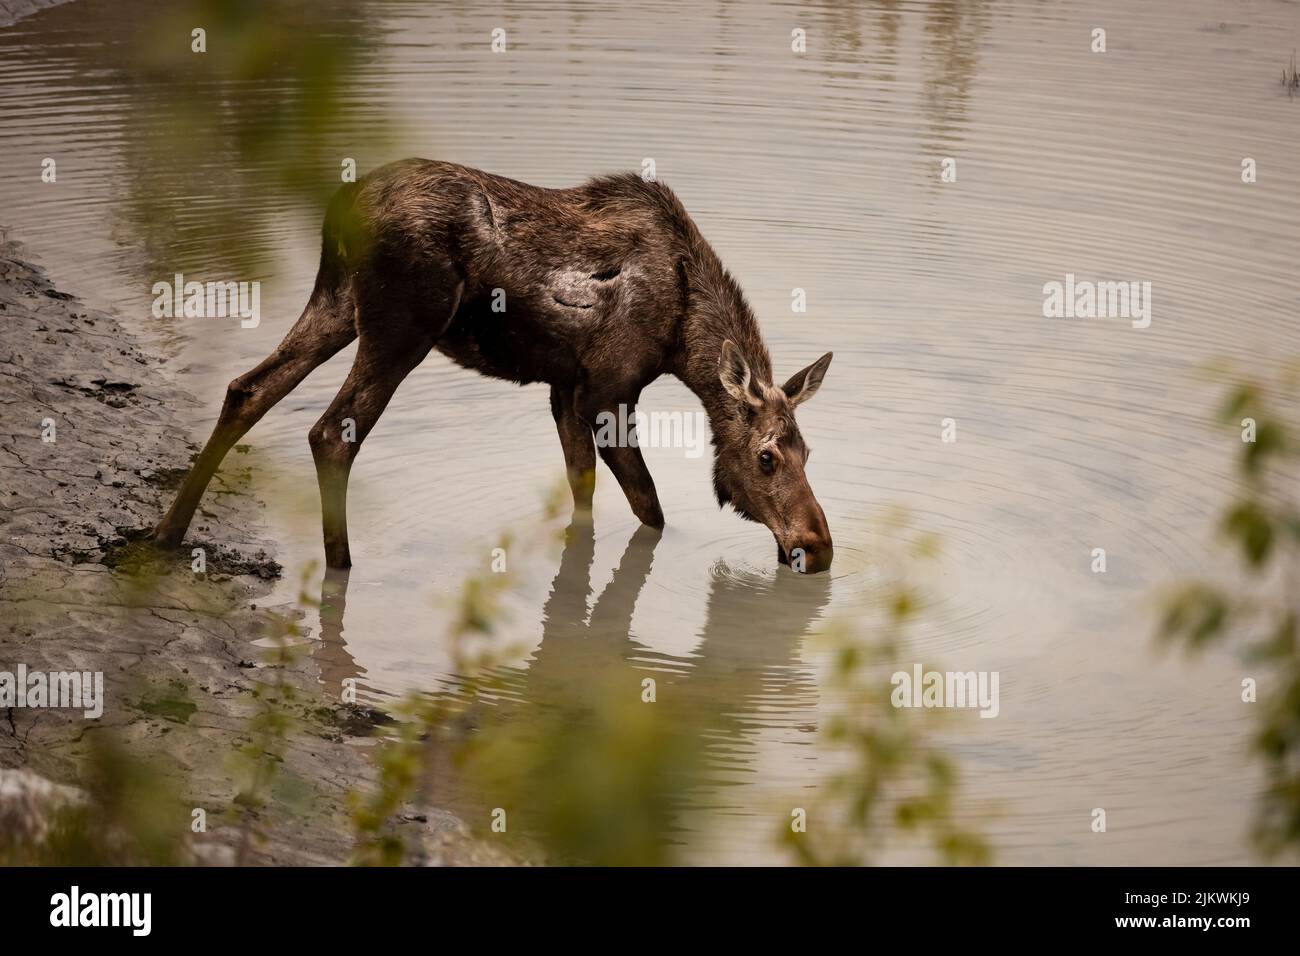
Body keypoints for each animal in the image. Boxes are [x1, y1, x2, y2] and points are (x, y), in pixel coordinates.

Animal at [152, 160, 835, 572]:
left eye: (809, 452)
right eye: (767, 457)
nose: (817, 546)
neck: (684, 341)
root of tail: (338, 205)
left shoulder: (565, 392)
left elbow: (584, 493)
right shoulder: (607, 393)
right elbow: (650, 506)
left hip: (337, 304)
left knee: (247, 389)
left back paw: (166, 534)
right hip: (403, 327)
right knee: (329, 432)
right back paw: (341, 566)